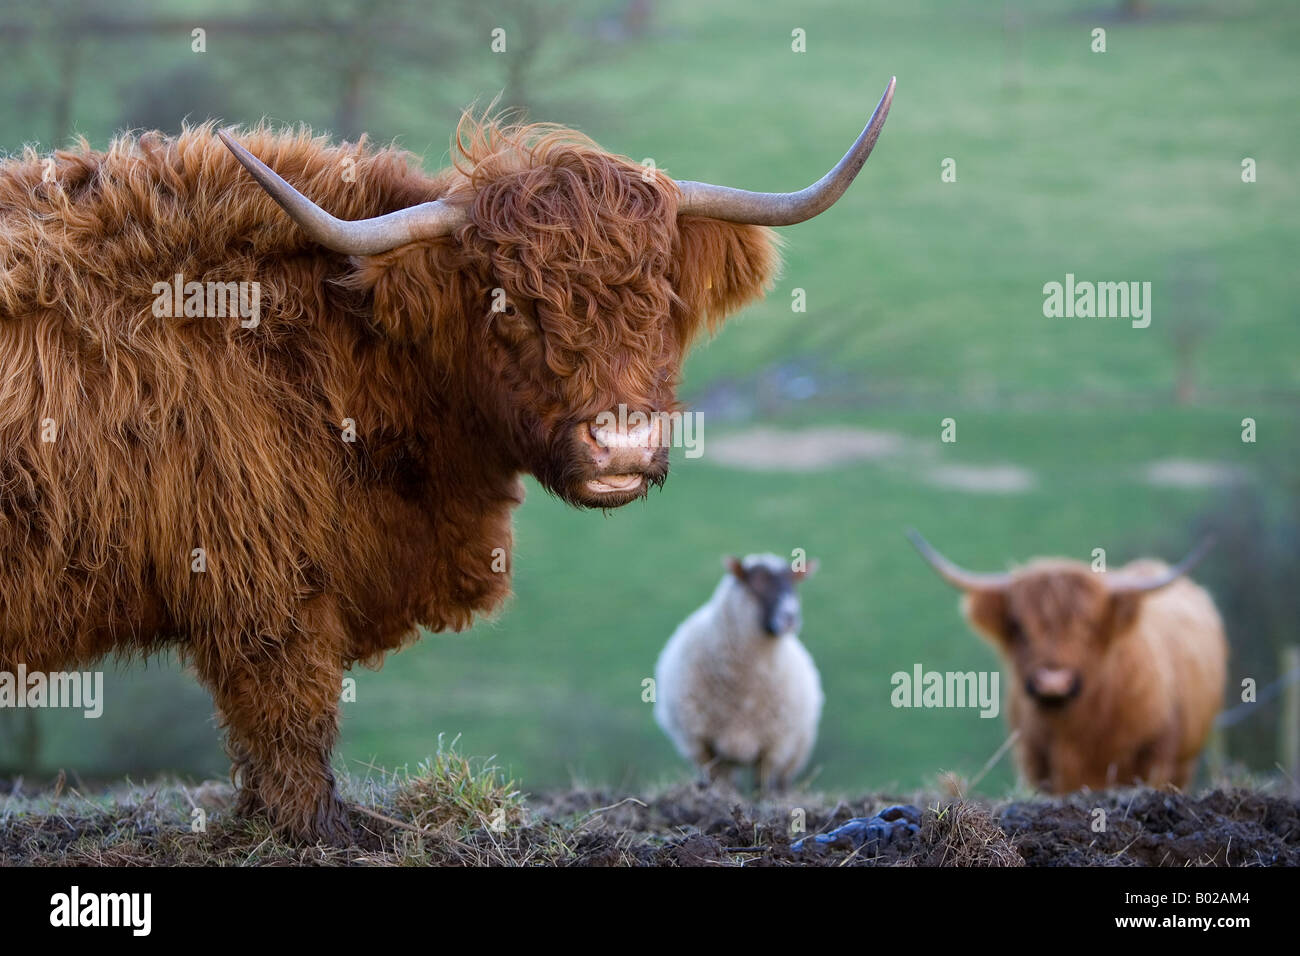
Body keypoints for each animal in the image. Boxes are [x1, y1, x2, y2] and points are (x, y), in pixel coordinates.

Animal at [0, 79, 895, 842]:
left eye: (662, 299)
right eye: (512, 304)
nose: (622, 443)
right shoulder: (265, 580)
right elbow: (292, 720)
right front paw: (315, 831)